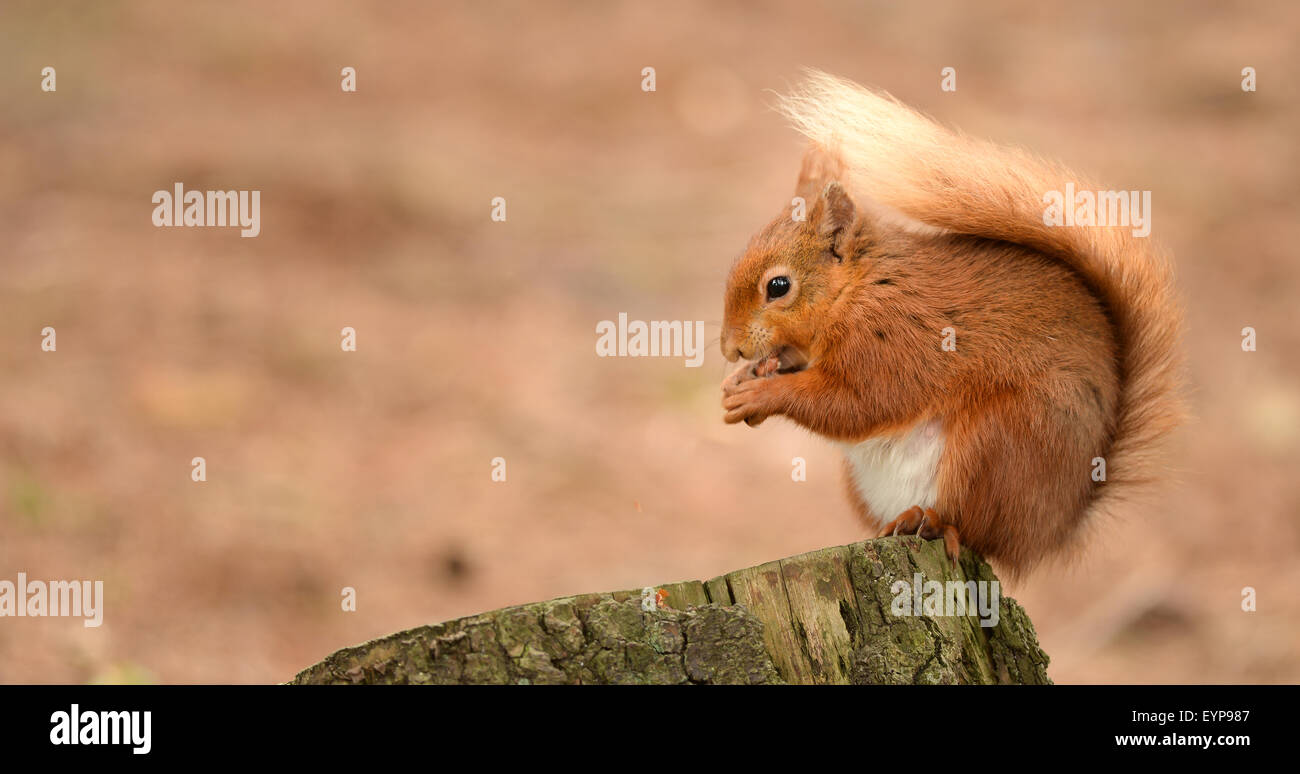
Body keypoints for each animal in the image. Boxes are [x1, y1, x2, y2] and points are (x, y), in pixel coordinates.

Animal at [720, 72, 1183, 576]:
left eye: (778, 286)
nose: (729, 348)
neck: (856, 291)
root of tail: (1055, 526)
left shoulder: (892, 340)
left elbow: (858, 403)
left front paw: (761, 394)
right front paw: (740, 381)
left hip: (998, 443)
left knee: (976, 528)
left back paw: (932, 521)